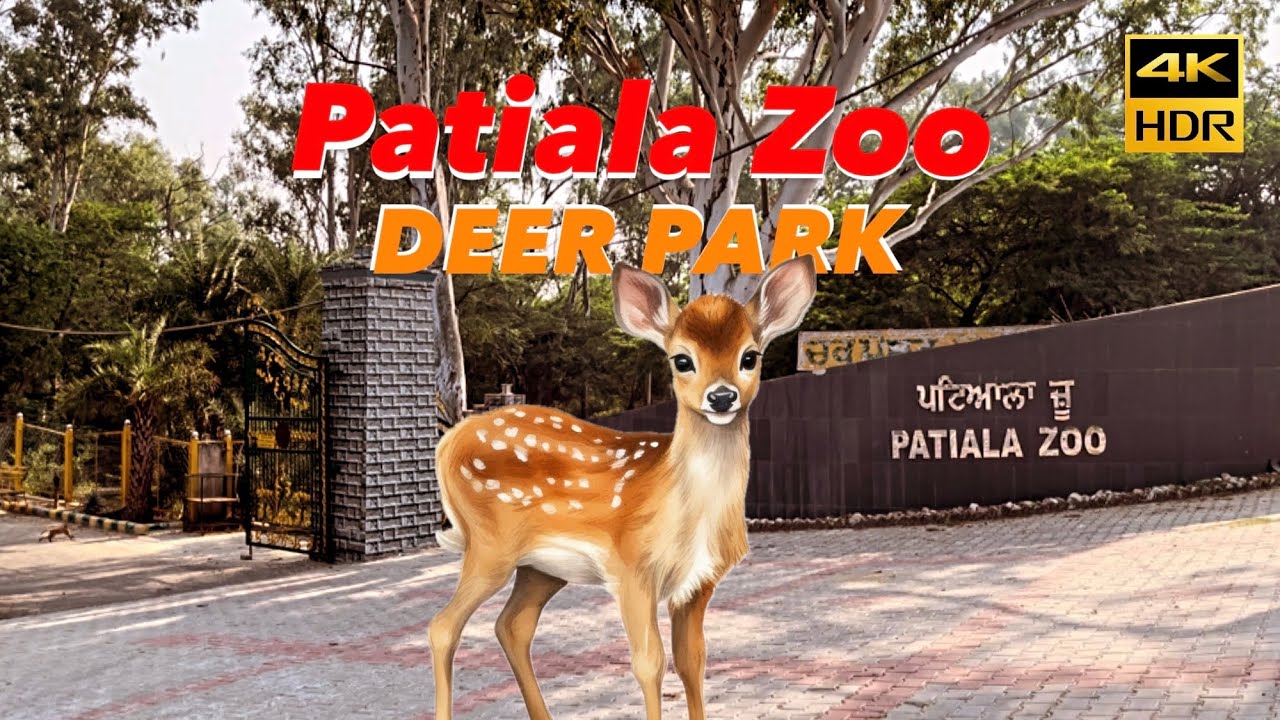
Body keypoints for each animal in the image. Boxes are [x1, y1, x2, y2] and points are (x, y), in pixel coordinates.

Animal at [429, 256, 817, 719]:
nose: (721, 397)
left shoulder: (699, 583)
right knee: (442, 627)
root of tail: (447, 444)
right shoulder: (632, 567)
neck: (683, 510)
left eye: (750, 356)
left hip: (541, 567)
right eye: (681, 360)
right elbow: (650, 663)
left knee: (512, 625)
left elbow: (693, 660)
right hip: (490, 544)